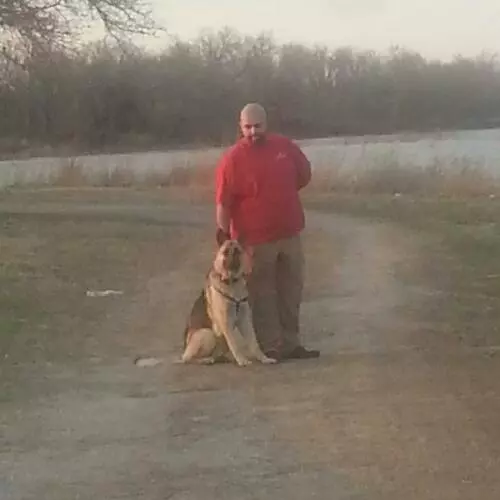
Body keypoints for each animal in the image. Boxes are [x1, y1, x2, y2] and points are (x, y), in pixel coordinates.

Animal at [180, 236, 278, 366]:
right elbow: (234, 344)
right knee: (187, 358)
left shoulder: (245, 321)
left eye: (237, 251)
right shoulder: (226, 323)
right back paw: (206, 359)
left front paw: (264, 358)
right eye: (226, 252)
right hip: (207, 334)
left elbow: (254, 343)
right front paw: (242, 360)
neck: (232, 283)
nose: (232, 261)